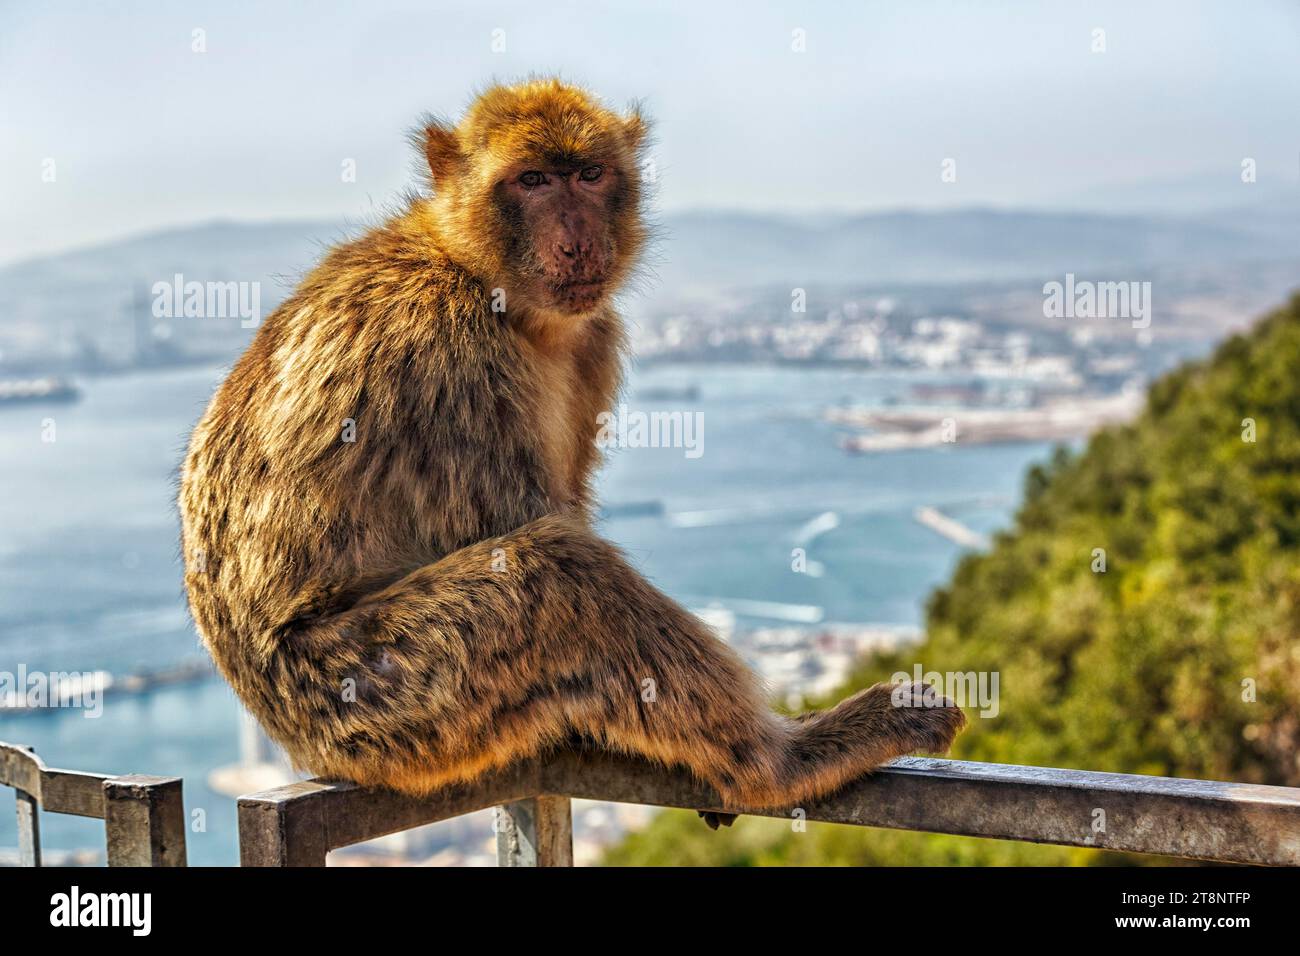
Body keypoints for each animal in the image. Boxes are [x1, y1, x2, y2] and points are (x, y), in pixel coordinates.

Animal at [178, 78, 965, 825]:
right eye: (530, 181)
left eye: (588, 175)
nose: (578, 240)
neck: (480, 277)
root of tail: (291, 736)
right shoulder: (449, 355)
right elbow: (517, 531)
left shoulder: (595, 339)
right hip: (377, 692)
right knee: (553, 571)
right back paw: (779, 763)